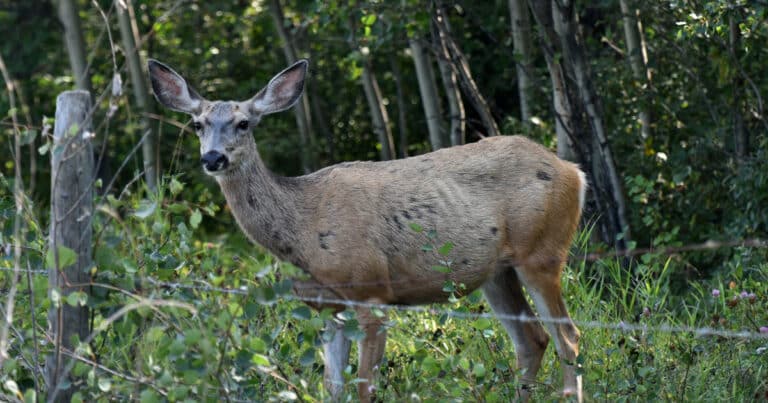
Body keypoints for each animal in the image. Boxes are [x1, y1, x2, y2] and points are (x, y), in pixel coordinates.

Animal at [148, 58, 585, 402]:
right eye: (197, 124)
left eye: (243, 123)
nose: (213, 158)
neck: (303, 228)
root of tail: (573, 172)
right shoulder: (327, 308)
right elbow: (332, 387)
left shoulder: (373, 292)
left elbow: (363, 388)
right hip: (496, 273)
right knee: (532, 341)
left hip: (542, 253)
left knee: (569, 338)